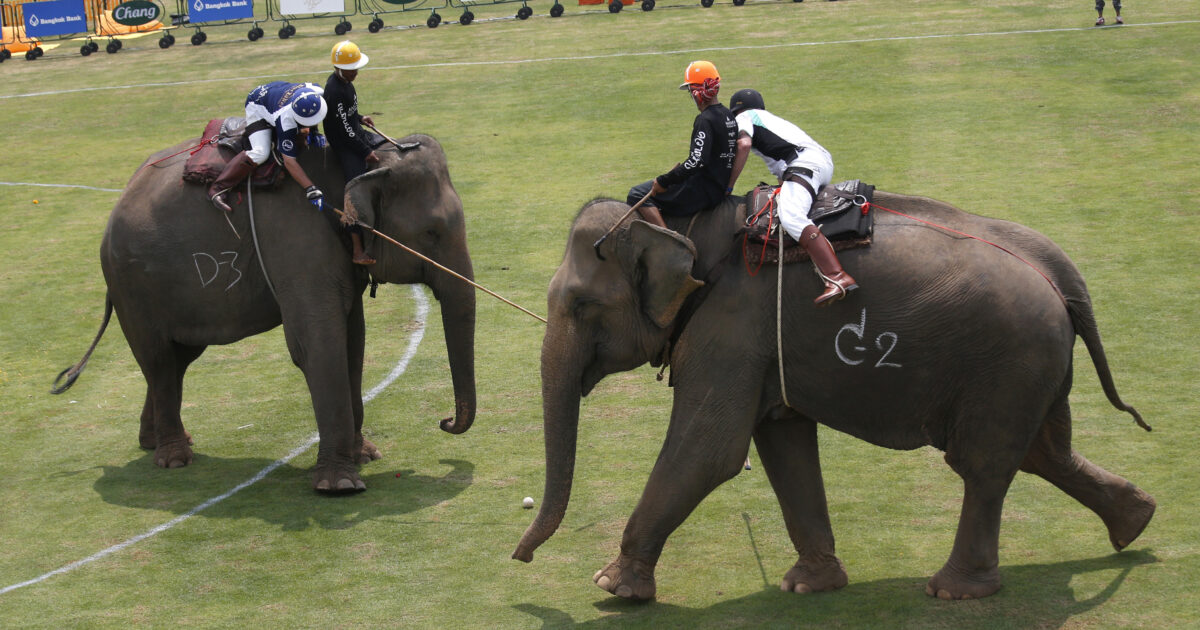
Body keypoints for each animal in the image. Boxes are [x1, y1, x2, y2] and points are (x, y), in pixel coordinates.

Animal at [52, 133, 476, 493]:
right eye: (432, 233)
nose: (444, 422)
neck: (355, 160)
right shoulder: (296, 239)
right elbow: (316, 345)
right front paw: (341, 485)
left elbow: (353, 342)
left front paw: (366, 456)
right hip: (132, 285)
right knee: (156, 357)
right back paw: (174, 458)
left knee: (178, 358)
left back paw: (155, 441)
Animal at [512, 190, 1155, 600]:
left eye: (580, 305)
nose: (519, 558)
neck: (681, 223)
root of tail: (1059, 271)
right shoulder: (759, 343)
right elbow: (782, 440)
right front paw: (808, 585)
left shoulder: (730, 327)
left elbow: (708, 451)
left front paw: (613, 587)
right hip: (1031, 367)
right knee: (1044, 452)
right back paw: (1136, 524)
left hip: (1007, 362)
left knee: (984, 465)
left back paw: (955, 591)